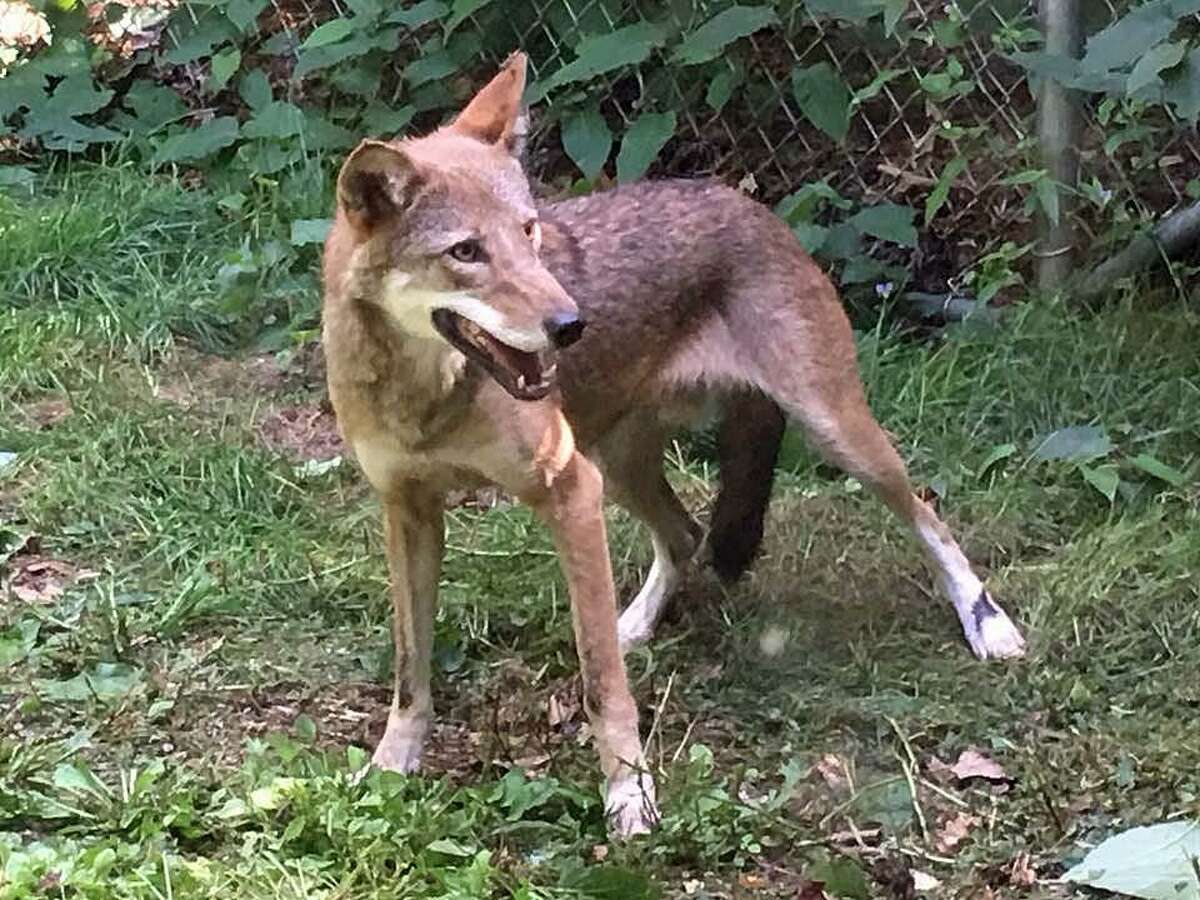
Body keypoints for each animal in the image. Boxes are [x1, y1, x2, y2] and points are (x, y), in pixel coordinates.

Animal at [321, 53, 1025, 837]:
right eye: (466, 252)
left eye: (529, 233)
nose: (571, 325)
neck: (425, 397)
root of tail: (747, 202)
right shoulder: (408, 510)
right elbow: (410, 671)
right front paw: (389, 770)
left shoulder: (567, 493)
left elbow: (601, 685)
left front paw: (629, 796)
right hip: (618, 466)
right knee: (686, 534)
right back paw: (635, 621)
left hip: (831, 432)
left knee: (926, 513)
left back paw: (989, 627)